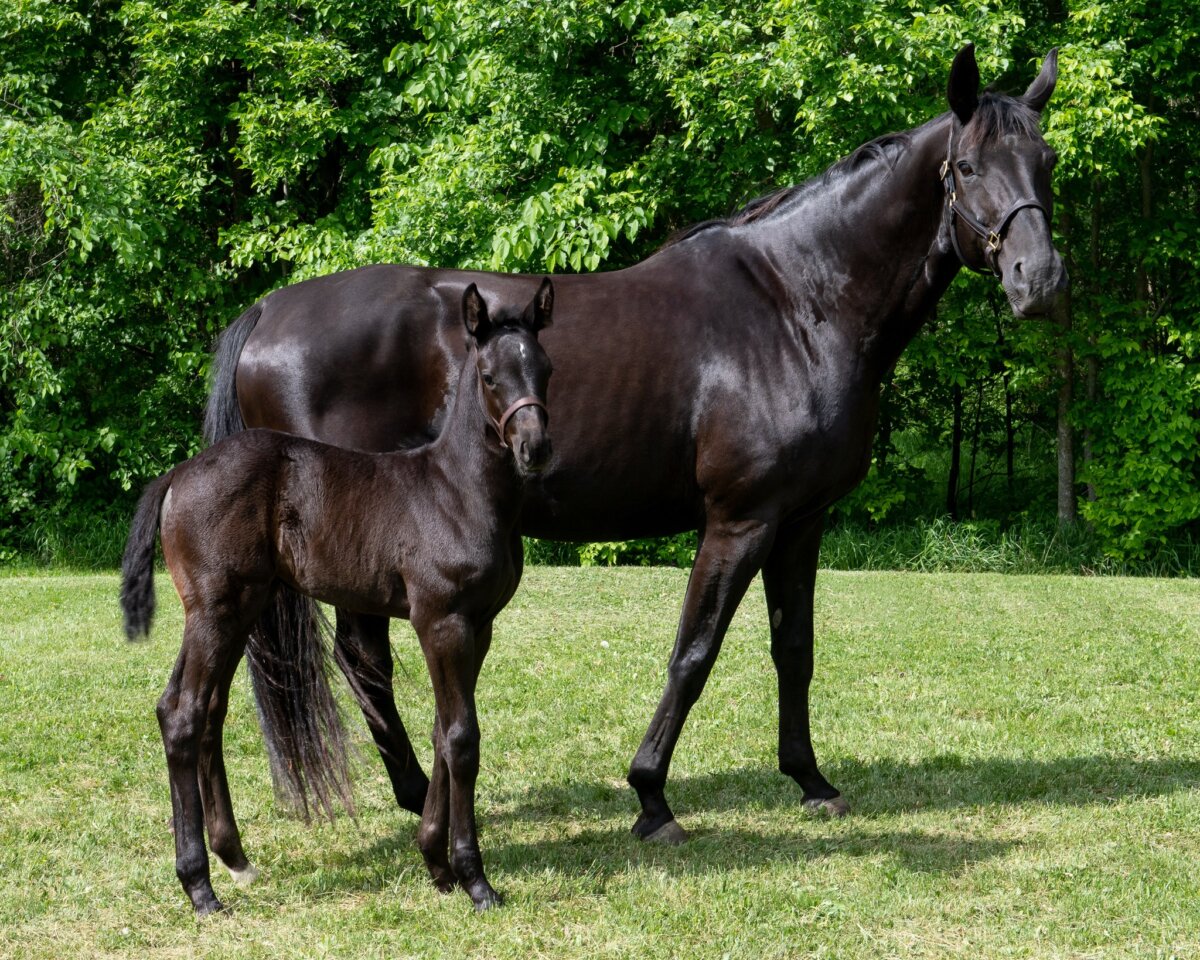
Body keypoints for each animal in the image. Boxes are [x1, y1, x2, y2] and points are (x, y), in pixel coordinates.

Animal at [121, 280, 555, 914]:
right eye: (490, 375)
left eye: (545, 369)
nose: (535, 449)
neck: (457, 489)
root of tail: (177, 475)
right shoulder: (442, 620)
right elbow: (461, 739)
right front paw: (474, 879)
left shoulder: (479, 626)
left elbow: (443, 734)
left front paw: (436, 863)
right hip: (215, 610)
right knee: (184, 714)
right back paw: (199, 885)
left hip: (236, 610)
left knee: (202, 709)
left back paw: (234, 858)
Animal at [202, 44, 1067, 846]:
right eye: (966, 166)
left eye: (1047, 161)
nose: (1040, 281)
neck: (796, 303)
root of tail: (269, 312)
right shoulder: (740, 520)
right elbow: (694, 652)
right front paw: (652, 796)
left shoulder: (801, 521)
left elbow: (794, 647)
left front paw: (810, 780)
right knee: (364, 658)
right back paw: (422, 797)